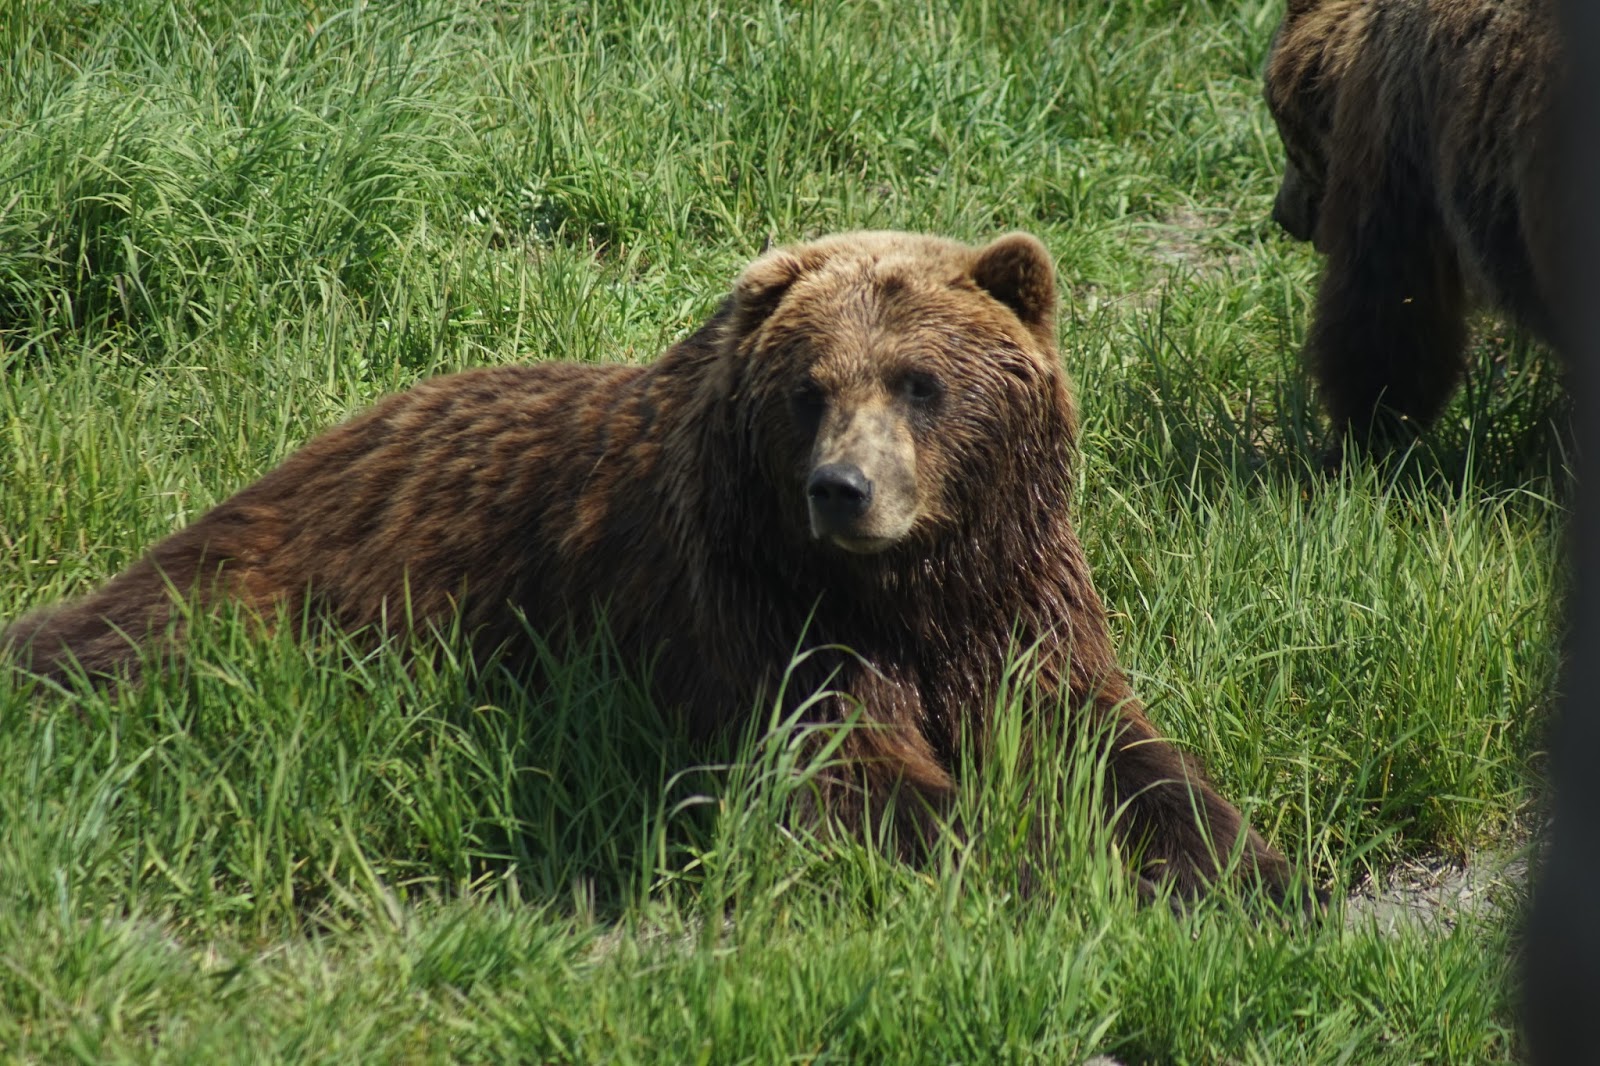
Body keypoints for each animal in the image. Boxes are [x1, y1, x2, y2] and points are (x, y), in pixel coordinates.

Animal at [2, 231, 1296, 903]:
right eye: (809, 387)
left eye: (921, 381)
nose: (843, 489)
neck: (906, 584)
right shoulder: (762, 607)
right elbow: (850, 765)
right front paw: (1022, 865)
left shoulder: (1010, 600)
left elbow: (1111, 740)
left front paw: (1256, 869)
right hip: (301, 579)